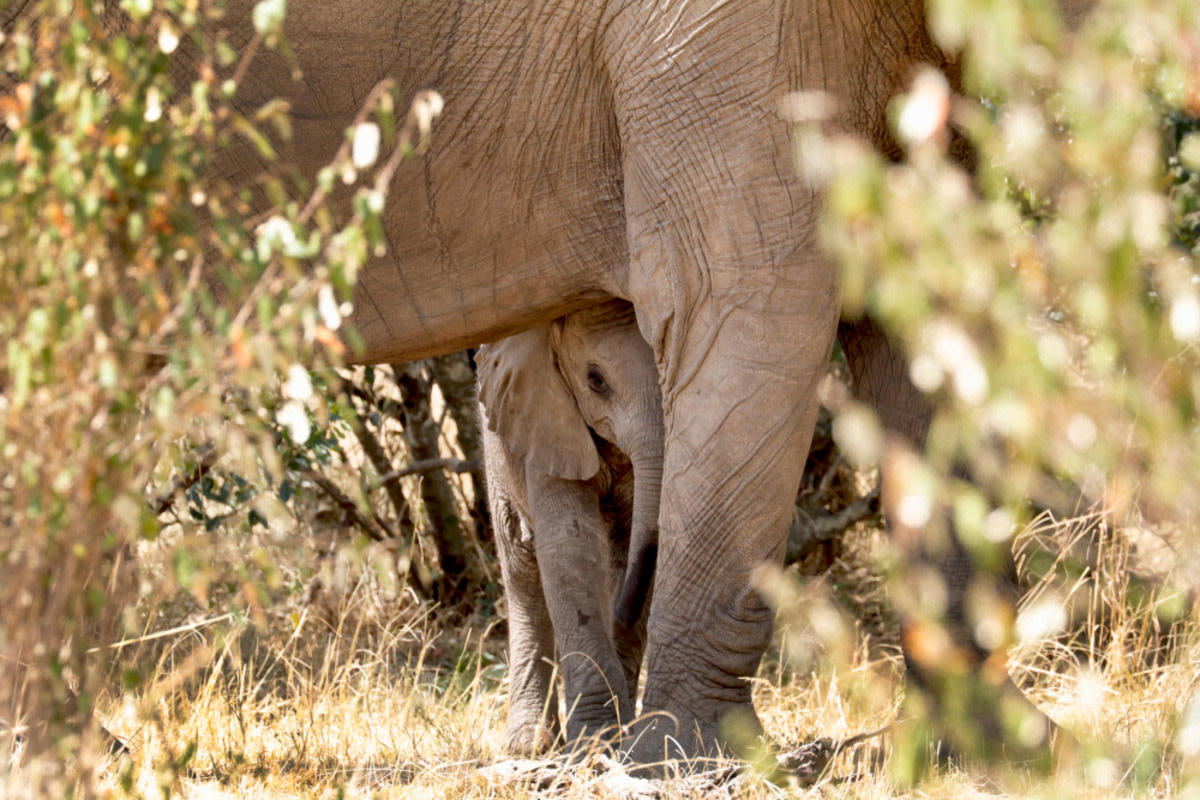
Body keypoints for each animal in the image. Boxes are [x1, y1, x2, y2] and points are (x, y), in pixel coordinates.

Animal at [475, 299, 661, 752]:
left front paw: (620, 733)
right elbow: (568, 544)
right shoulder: (542, 419)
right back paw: (529, 745)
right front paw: (596, 740)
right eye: (596, 380)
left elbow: (627, 546)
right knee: (522, 573)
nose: (621, 611)